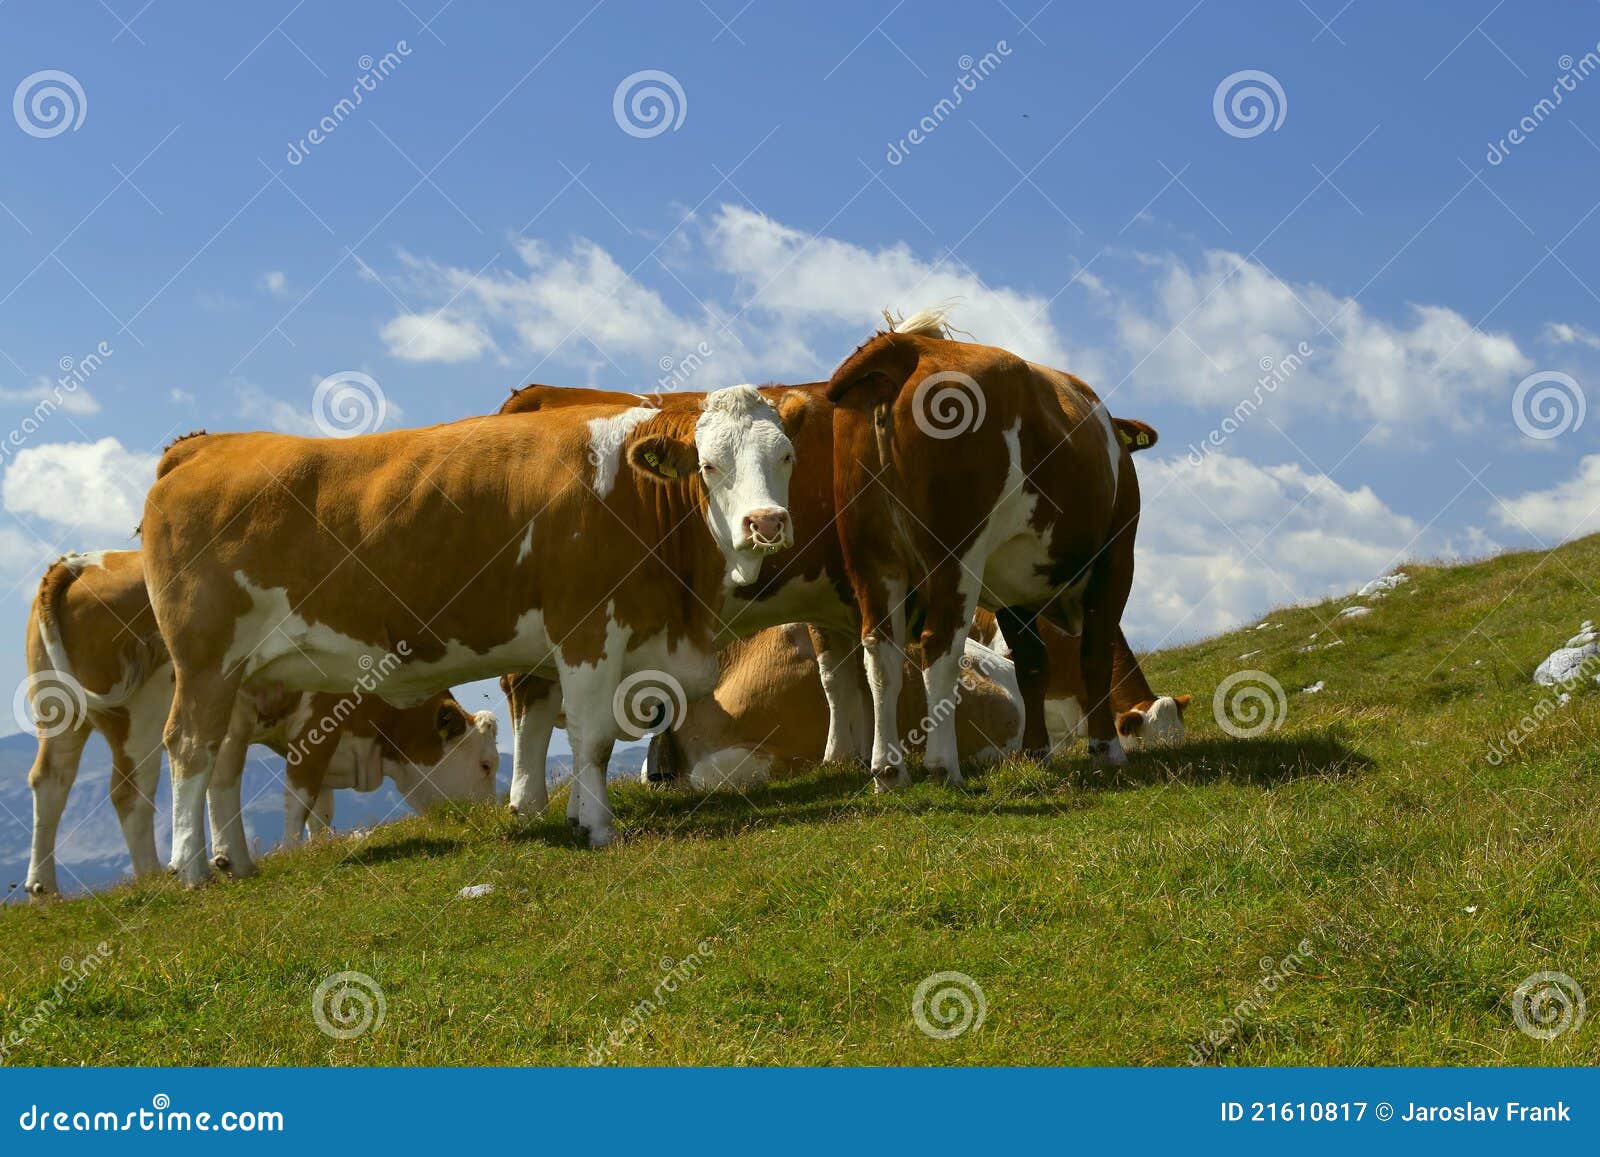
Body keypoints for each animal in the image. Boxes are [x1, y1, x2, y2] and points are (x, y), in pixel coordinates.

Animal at [21, 549, 499, 898]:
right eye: (486, 765)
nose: (492, 817)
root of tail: (84, 560)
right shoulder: (317, 725)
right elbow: (298, 796)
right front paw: (292, 852)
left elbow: (320, 806)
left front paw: (309, 845)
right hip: (141, 715)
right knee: (130, 791)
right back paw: (155, 872)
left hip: (60, 714)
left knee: (50, 781)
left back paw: (45, 889)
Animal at [140, 386, 798, 885]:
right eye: (710, 465)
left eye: (786, 456)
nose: (765, 523)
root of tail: (205, 445)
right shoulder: (586, 627)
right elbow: (592, 740)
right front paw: (600, 829)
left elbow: (567, 729)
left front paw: (574, 817)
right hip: (204, 662)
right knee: (189, 747)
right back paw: (191, 870)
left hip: (244, 677)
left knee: (224, 762)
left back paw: (236, 861)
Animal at [825, 309, 1148, 788]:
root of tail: (912, 347)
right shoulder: (1117, 556)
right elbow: (1094, 656)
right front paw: (1107, 751)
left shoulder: (1014, 586)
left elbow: (1032, 665)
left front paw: (1036, 753)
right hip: (956, 552)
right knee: (939, 643)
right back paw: (943, 765)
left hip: (871, 554)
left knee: (880, 649)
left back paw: (889, 769)